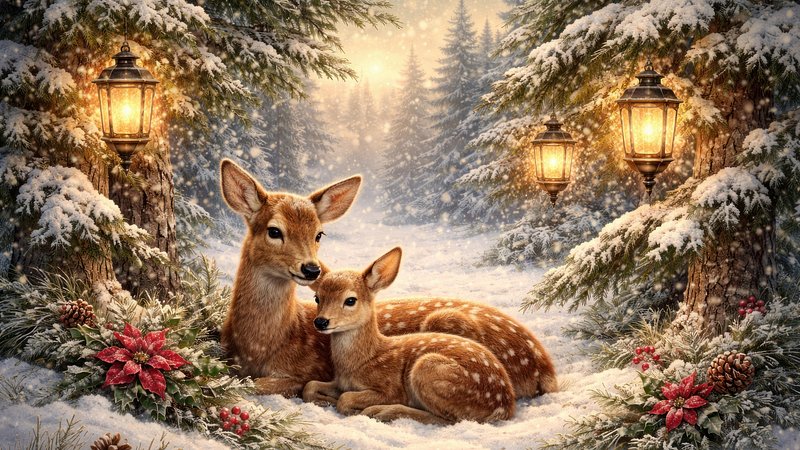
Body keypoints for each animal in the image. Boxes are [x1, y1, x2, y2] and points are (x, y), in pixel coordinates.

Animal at [219, 159, 557, 397]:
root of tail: (546, 367)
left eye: (319, 234)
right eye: (274, 231)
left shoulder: (305, 370)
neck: (263, 345)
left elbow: (261, 385)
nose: (312, 269)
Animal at [303, 247, 515, 424]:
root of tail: (506, 406)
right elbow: (310, 386)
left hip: (431, 370)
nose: (321, 322)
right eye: (317, 298)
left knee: (450, 419)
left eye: (350, 300)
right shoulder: (340, 382)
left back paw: (381, 412)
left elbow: (345, 399)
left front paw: (347, 407)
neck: (361, 361)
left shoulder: (390, 389)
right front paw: (324, 399)